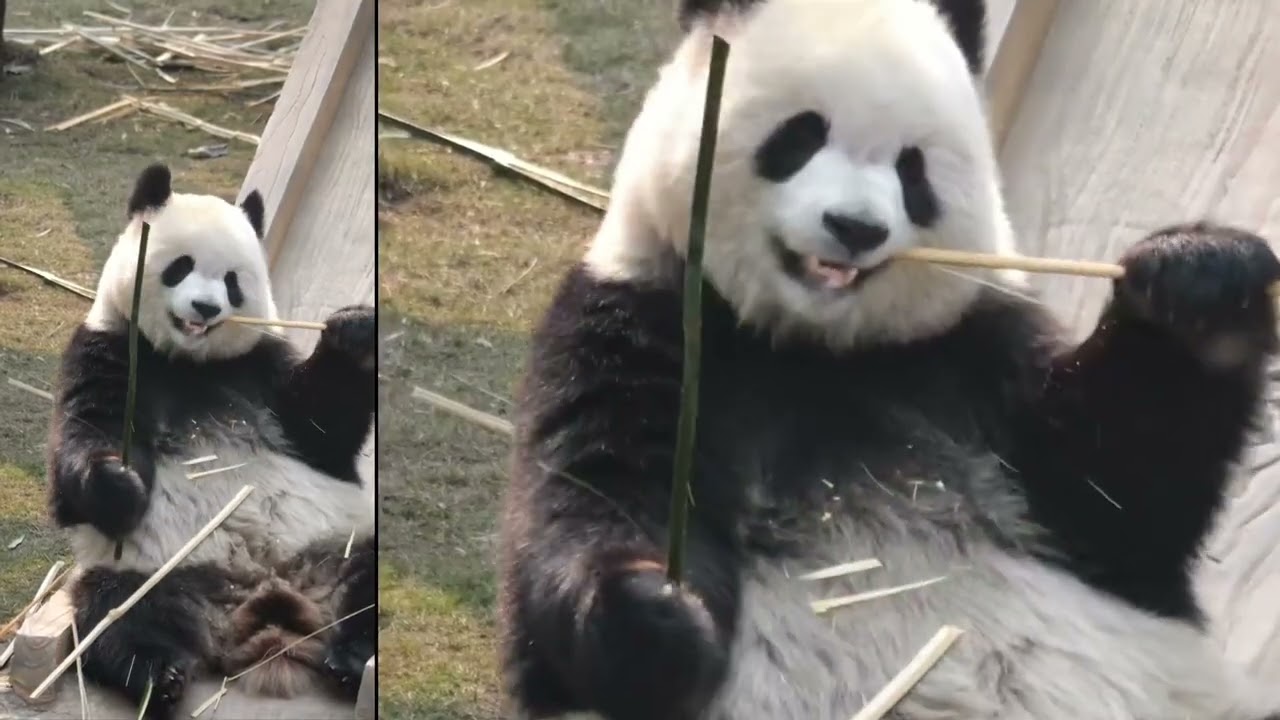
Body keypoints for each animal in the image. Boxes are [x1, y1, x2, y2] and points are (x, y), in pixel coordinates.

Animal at [46, 163, 377, 719]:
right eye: (180, 267)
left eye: (232, 281)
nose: (205, 307)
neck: (188, 364)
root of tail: (266, 600)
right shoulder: (106, 352)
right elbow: (80, 452)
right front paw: (119, 482)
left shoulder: (260, 367)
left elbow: (322, 430)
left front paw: (353, 335)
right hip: (156, 571)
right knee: (113, 612)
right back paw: (161, 676)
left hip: (339, 542)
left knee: (368, 583)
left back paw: (352, 658)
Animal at [498, 0, 1280, 718]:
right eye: (801, 135)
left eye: (913, 169)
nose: (856, 228)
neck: (815, 348)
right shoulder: (637, 326)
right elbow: (603, 491)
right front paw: (661, 615)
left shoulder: (972, 354)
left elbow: (1117, 494)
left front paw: (1201, 282)